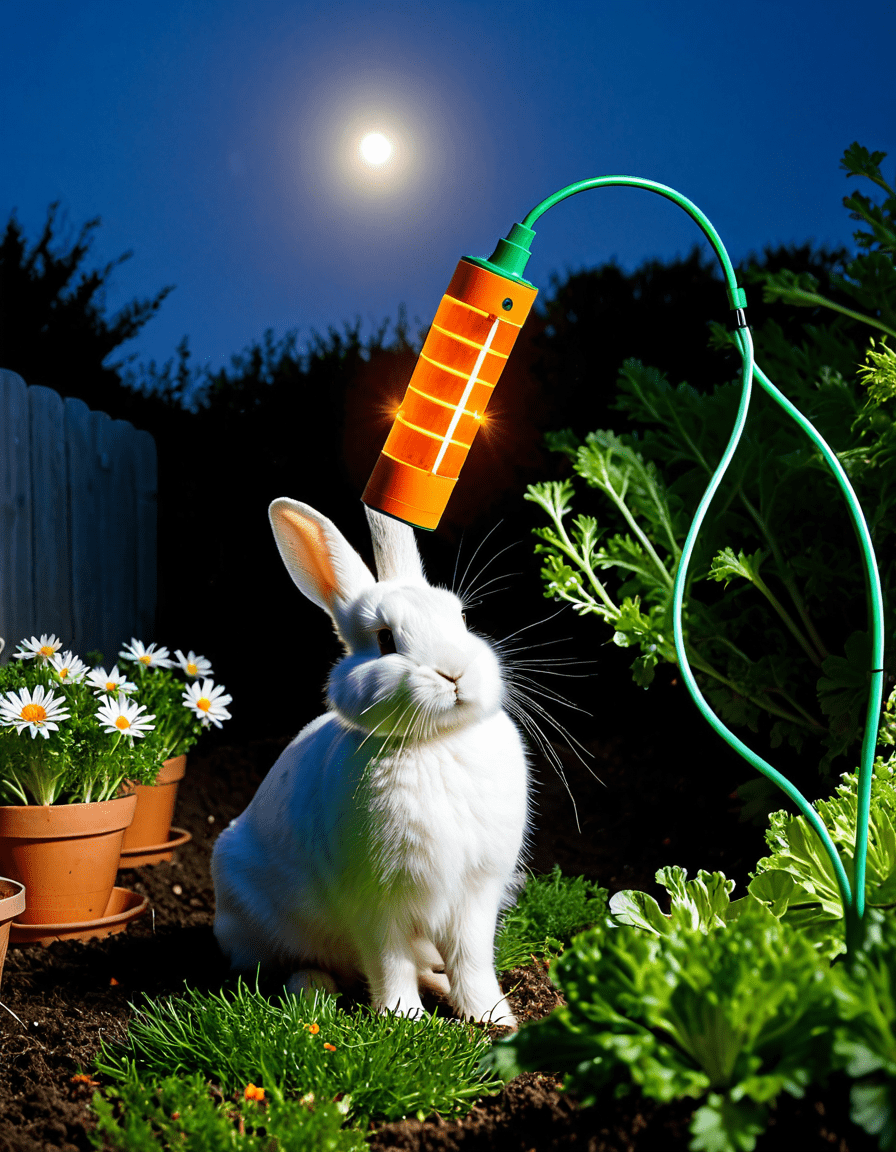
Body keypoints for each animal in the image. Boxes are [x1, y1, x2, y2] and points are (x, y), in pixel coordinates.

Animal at [211, 498, 530, 1027]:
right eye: (384, 640)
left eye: (462, 620)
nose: (455, 673)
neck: (432, 742)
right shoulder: (375, 899)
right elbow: (388, 960)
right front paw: (406, 1020)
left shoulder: (475, 895)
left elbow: (472, 960)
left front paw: (493, 1019)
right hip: (264, 924)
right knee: (292, 966)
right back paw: (314, 990)